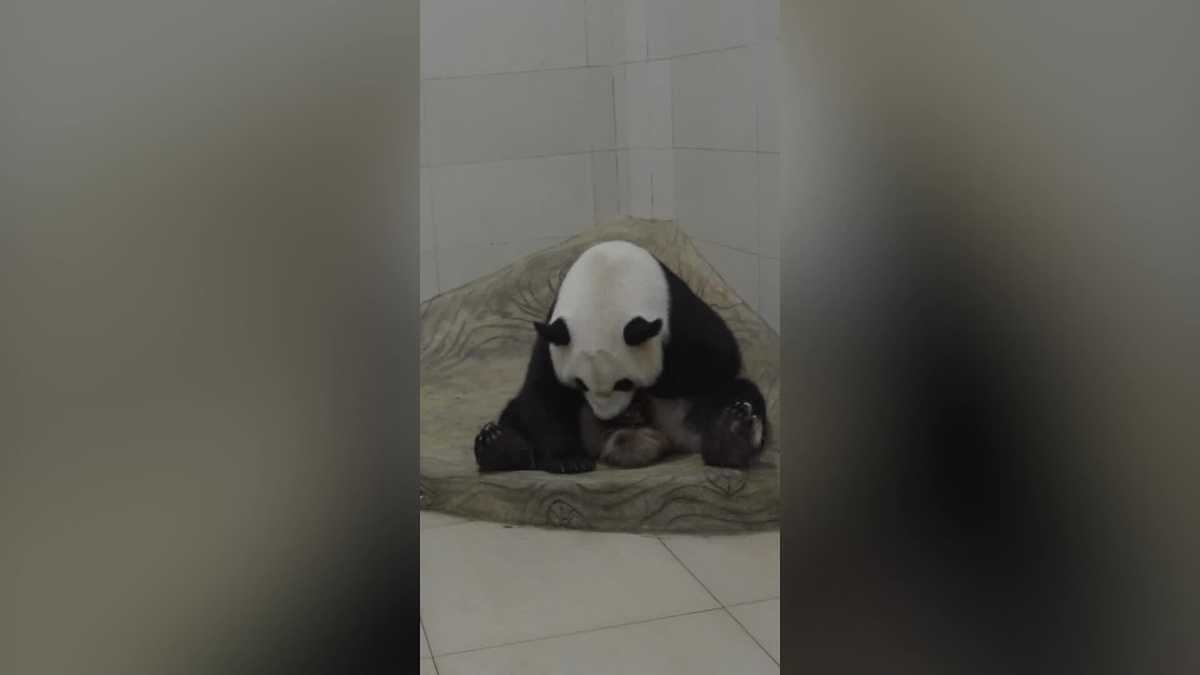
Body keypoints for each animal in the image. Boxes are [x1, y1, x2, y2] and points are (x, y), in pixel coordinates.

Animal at [473, 240, 768, 474]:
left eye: (624, 383)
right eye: (580, 384)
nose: (610, 415)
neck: (607, 276)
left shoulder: (677, 310)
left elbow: (720, 357)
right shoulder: (555, 332)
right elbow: (543, 391)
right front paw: (568, 460)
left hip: (690, 410)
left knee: (738, 393)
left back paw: (731, 437)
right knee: (517, 412)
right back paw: (498, 446)